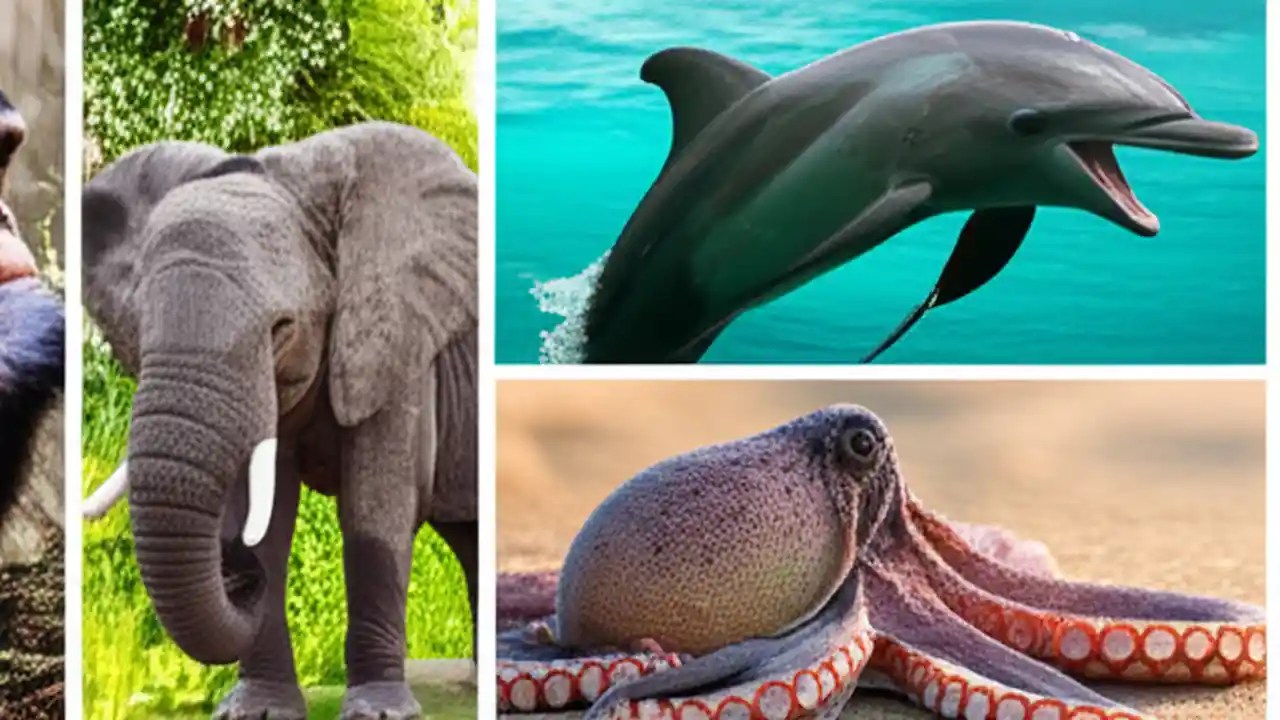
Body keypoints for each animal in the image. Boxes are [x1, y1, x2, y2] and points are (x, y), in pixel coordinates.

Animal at [80, 122, 477, 720]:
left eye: (281, 330)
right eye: (141, 331)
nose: (238, 575)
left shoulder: (397, 345)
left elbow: (375, 511)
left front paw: (379, 711)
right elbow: (263, 516)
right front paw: (257, 710)